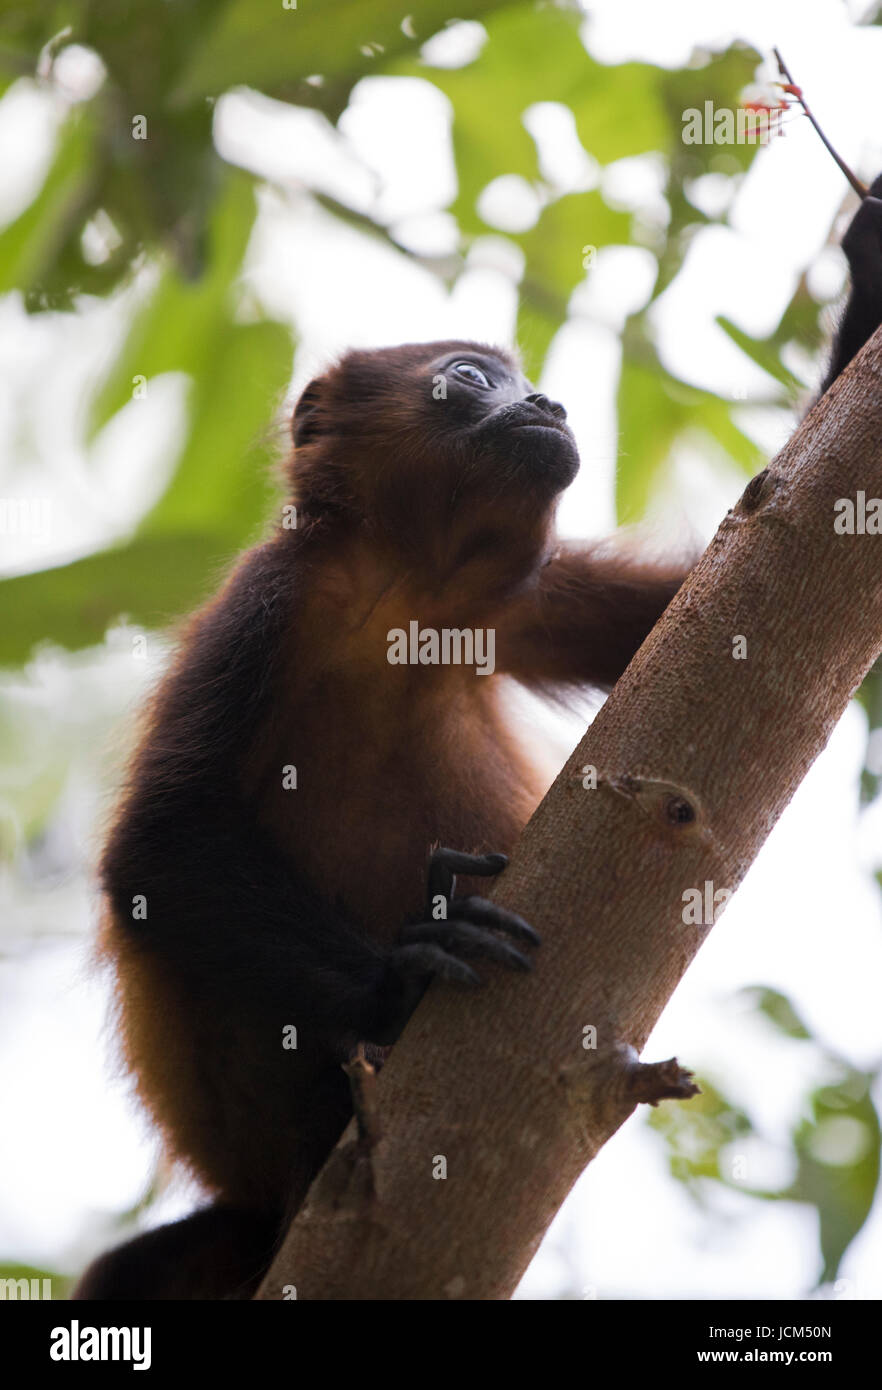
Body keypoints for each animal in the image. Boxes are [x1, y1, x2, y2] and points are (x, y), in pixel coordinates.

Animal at [74, 176, 882, 1300]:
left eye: (529, 380)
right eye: (469, 380)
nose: (549, 403)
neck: (408, 591)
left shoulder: (517, 600)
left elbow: (746, 579)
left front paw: (875, 254)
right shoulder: (266, 602)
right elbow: (157, 844)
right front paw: (408, 972)